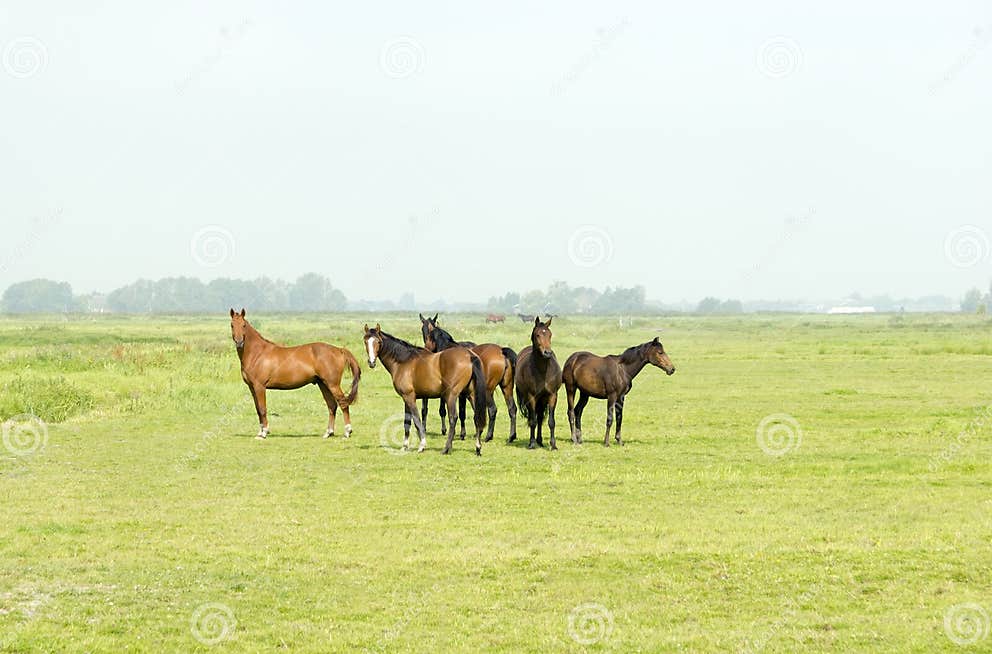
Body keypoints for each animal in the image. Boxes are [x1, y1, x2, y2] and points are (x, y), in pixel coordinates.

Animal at [229, 308, 360, 439]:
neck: (258, 353)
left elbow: (262, 409)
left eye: (244, 325)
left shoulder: (259, 387)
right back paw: (328, 432)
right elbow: (257, 409)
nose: (239, 342)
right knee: (332, 405)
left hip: (333, 384)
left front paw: (264, 433)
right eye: (232, 325)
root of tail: (339, 350)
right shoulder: (252, 388)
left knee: (343, 404)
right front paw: (260, 432)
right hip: (323, 384)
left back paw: (347, 432)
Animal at [363, 323, 488, 455]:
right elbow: (407, 422)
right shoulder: (406, 399)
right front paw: (405, 446)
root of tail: (469, 355)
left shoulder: (410, 397)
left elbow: (417, 420)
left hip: (451, 396)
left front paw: (422, 445)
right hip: (471, 395)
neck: (403, 361)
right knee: (477, 417)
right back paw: (477, 447)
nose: (371, 362)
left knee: (453, 418)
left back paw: (446, 448)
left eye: (378, 341)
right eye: (365, 341)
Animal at [420, 314, 517, 442]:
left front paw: (460, 434)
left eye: (429, 334)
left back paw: (488, 436)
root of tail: (501, 351)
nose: (426, 349)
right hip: (507, 387)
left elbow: (459, 412)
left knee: (492, 410)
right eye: (422, 329)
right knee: (512, 409)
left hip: (487, 391)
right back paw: (511, 436)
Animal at [513, 317, 562, 449]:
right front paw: (531, 443)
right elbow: (533, 421)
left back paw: (540, 440)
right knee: (533, 418)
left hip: (543, 399)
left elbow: (551, 421)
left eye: (550, 334)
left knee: (540, 418)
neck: (542, 371)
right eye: (537, 335)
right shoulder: (531, 397)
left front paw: (553, 445)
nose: (547, 353)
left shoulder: (552, 395)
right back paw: (535, 441)